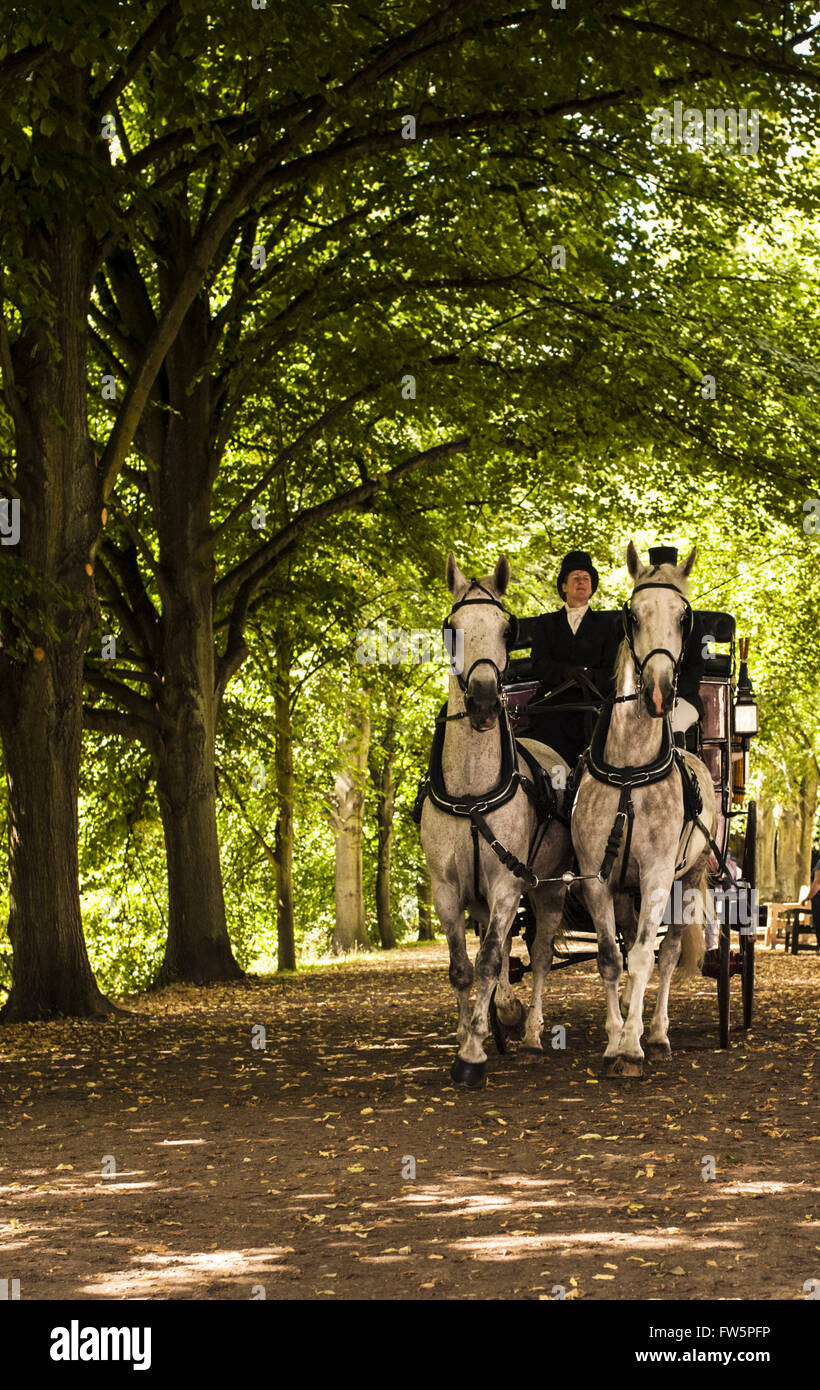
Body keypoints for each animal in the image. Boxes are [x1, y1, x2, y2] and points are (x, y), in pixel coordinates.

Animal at [419, 552, 572, 1088]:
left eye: (509, 630)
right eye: (452, 629)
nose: (485, 701)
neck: (471, 793)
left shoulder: (508, 880)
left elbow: (487, 960)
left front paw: (472, 1055)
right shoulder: (447, 888)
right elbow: (464, 968)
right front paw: (471, 1032)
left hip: (548, 885)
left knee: (540, 953)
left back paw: (530, 1029)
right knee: (503, 941)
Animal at [570, 541, 717, 1078]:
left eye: (684, 617)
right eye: (632, 616)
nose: (657, 692)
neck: (630, 773)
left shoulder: (656, 874)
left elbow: (642, 959)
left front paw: (632, 1045)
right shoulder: (598, 876)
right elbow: (611, 959)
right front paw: (614, 1038)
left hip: (689, 877)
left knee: (668, 953)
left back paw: (656, 1033)